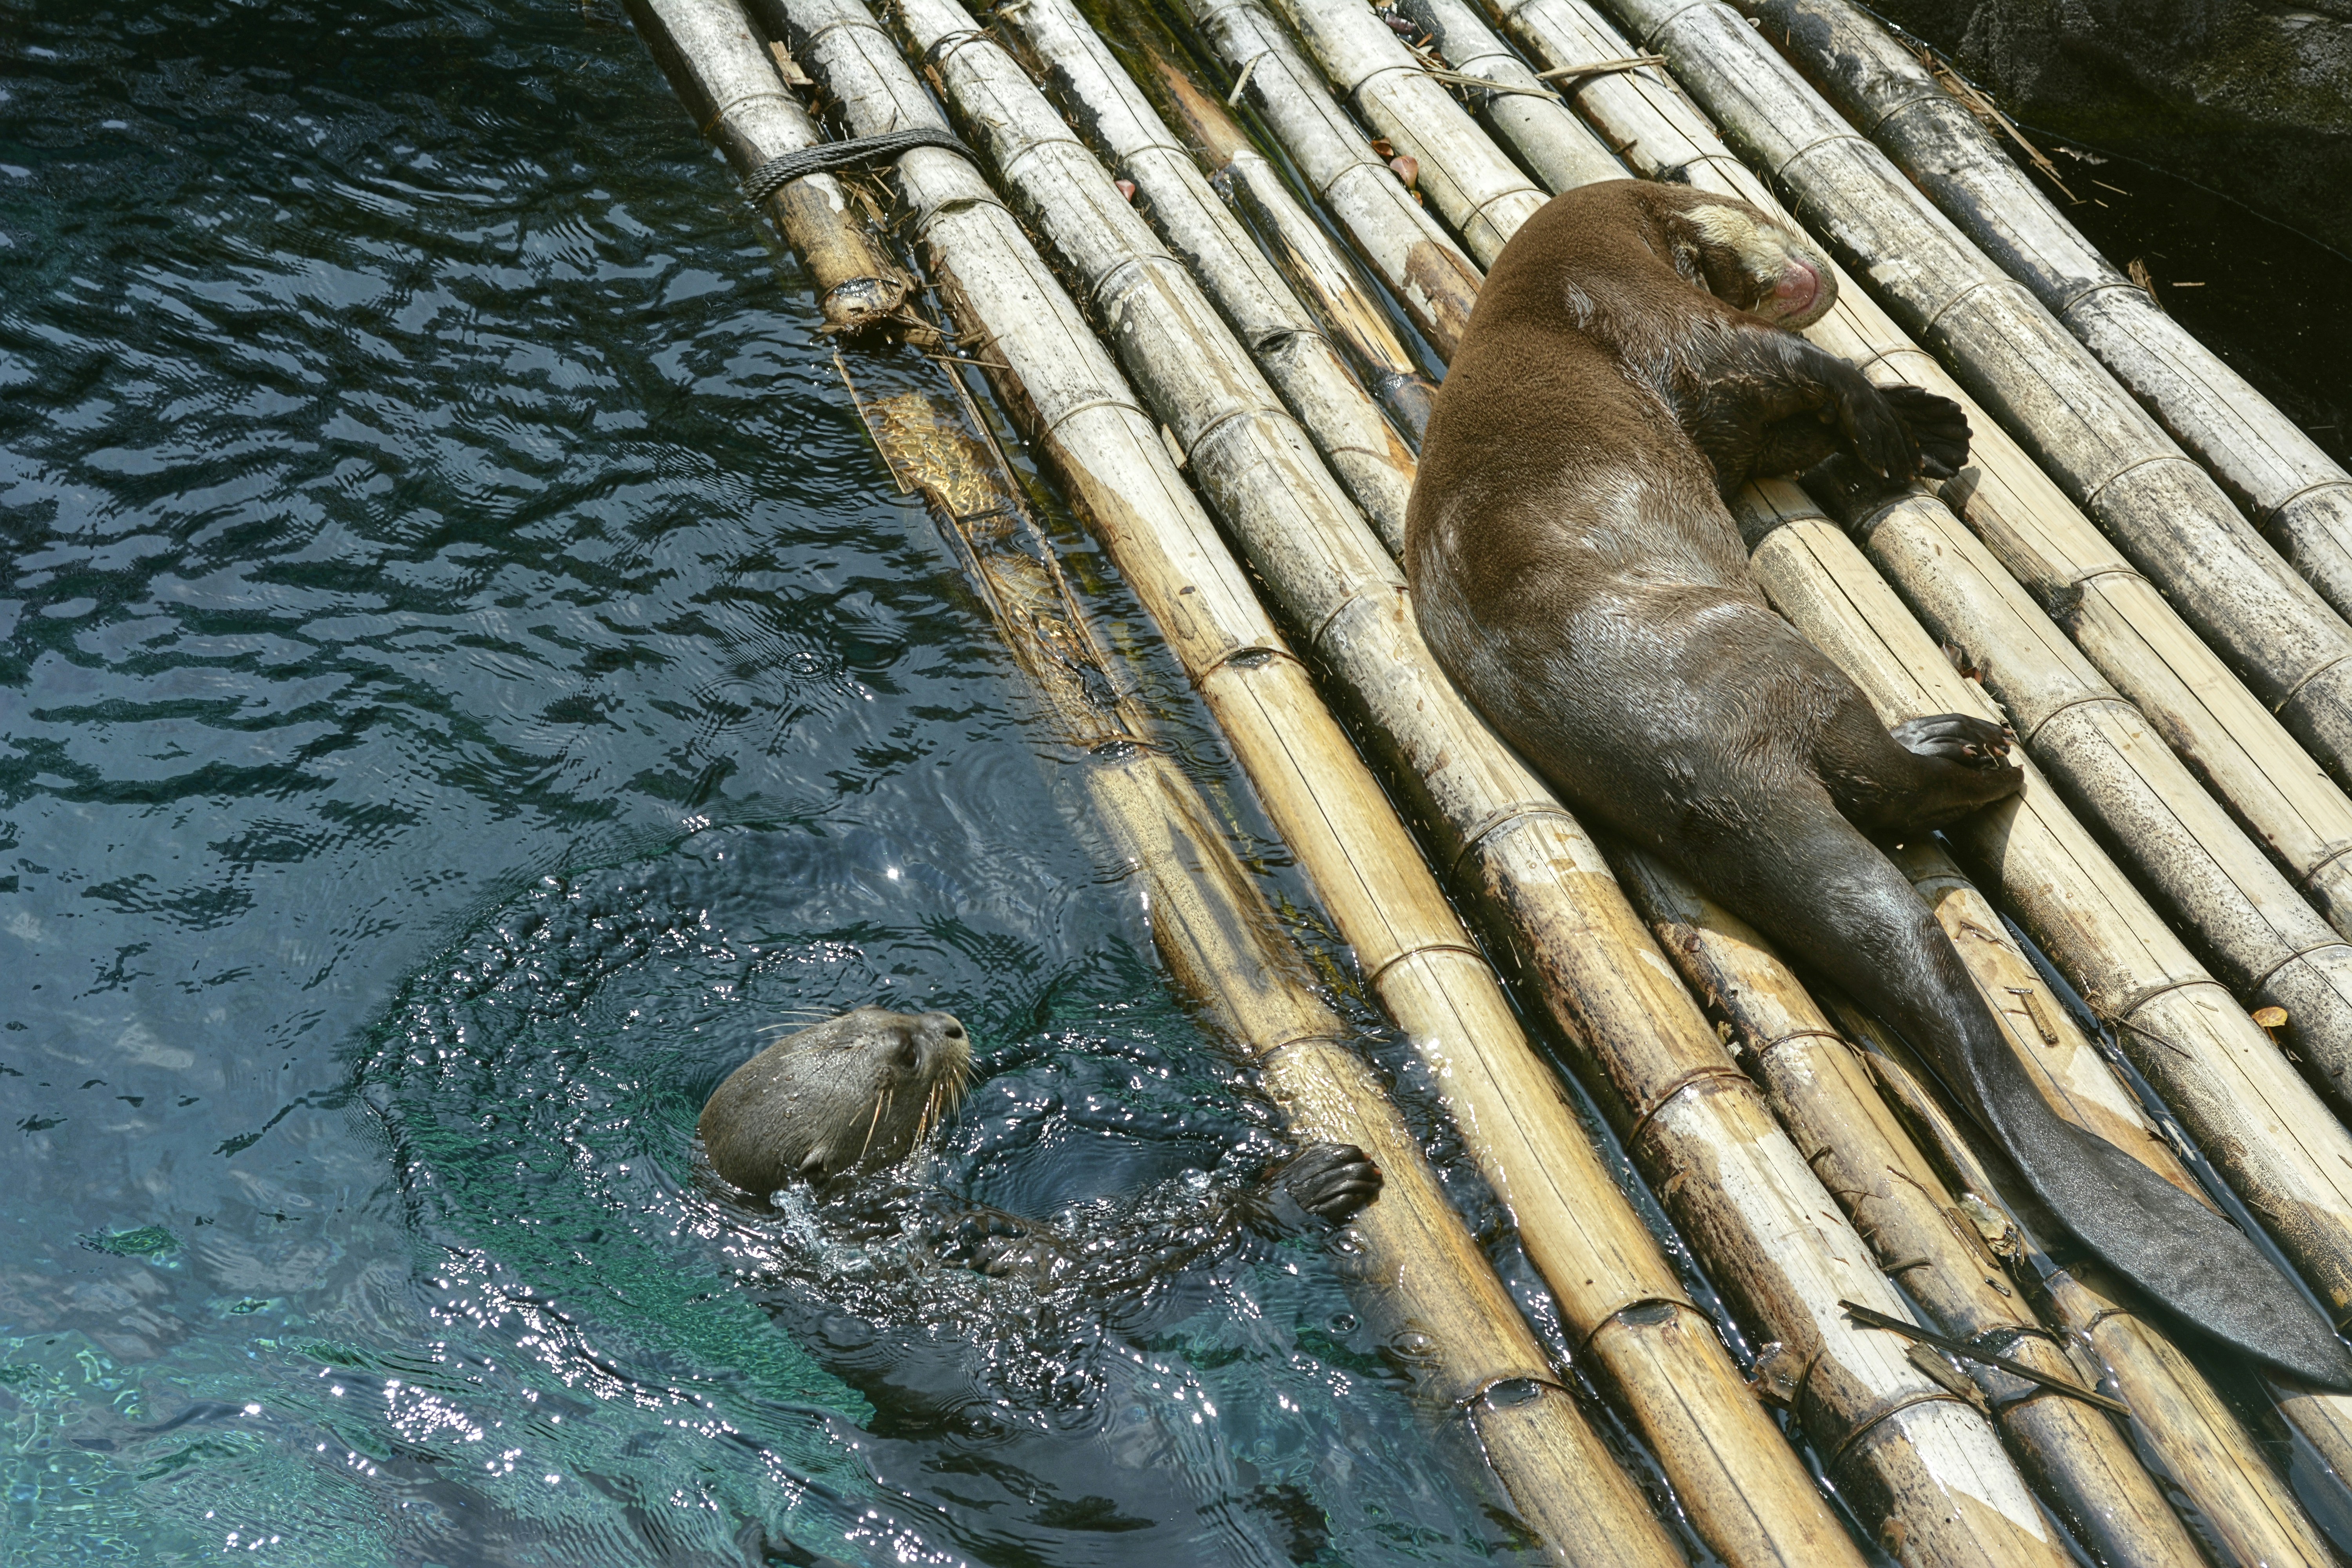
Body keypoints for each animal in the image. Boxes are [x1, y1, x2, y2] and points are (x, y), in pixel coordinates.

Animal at [1405, 178, 2352, 1386]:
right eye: (1750, 217)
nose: (1802, 267)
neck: (1565, 267)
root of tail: (1698, 772)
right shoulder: (1672, 325)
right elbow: (1800, 373)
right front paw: (1901, 430)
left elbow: (1784, 424)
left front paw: (1929, 422)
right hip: (1781, 662)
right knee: (1877, 780)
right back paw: (1976, 755)